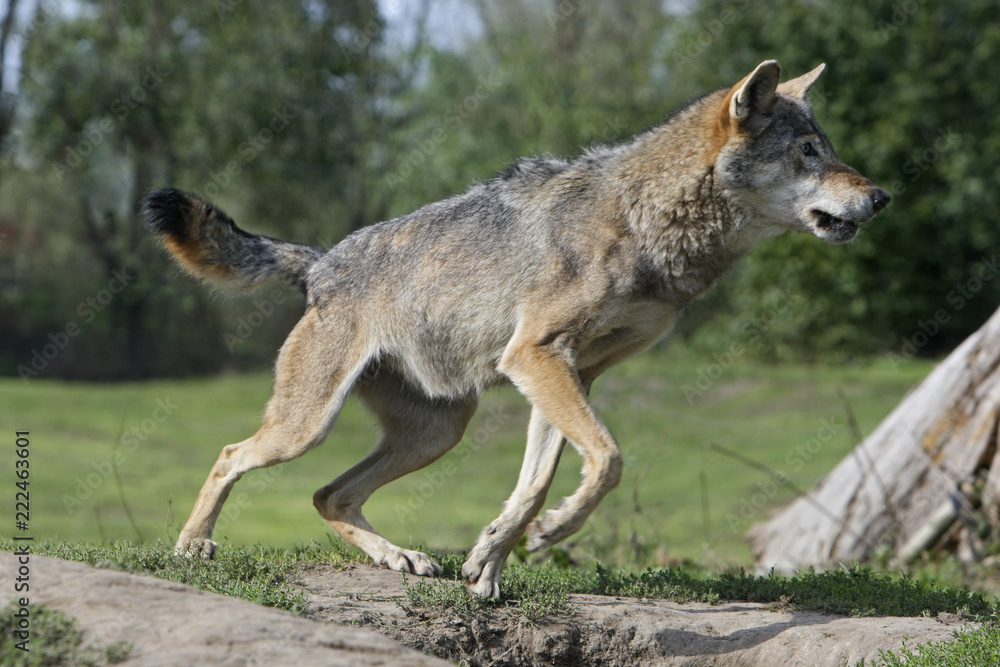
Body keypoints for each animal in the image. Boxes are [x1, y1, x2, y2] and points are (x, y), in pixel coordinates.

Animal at [144, 60, 888, 599]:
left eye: (829, 150)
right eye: (808, 152)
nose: (881, 196)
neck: (647, 221)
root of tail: (322, 260)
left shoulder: (570, 372)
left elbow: (537, 484)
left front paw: (491, 560)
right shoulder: (537, 357)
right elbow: (609, 461)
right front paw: (553, 531)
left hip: (439, 430)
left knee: (329, 494)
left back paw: (403, 558)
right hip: (307, 427)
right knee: (232, 455)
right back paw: (193, 545)